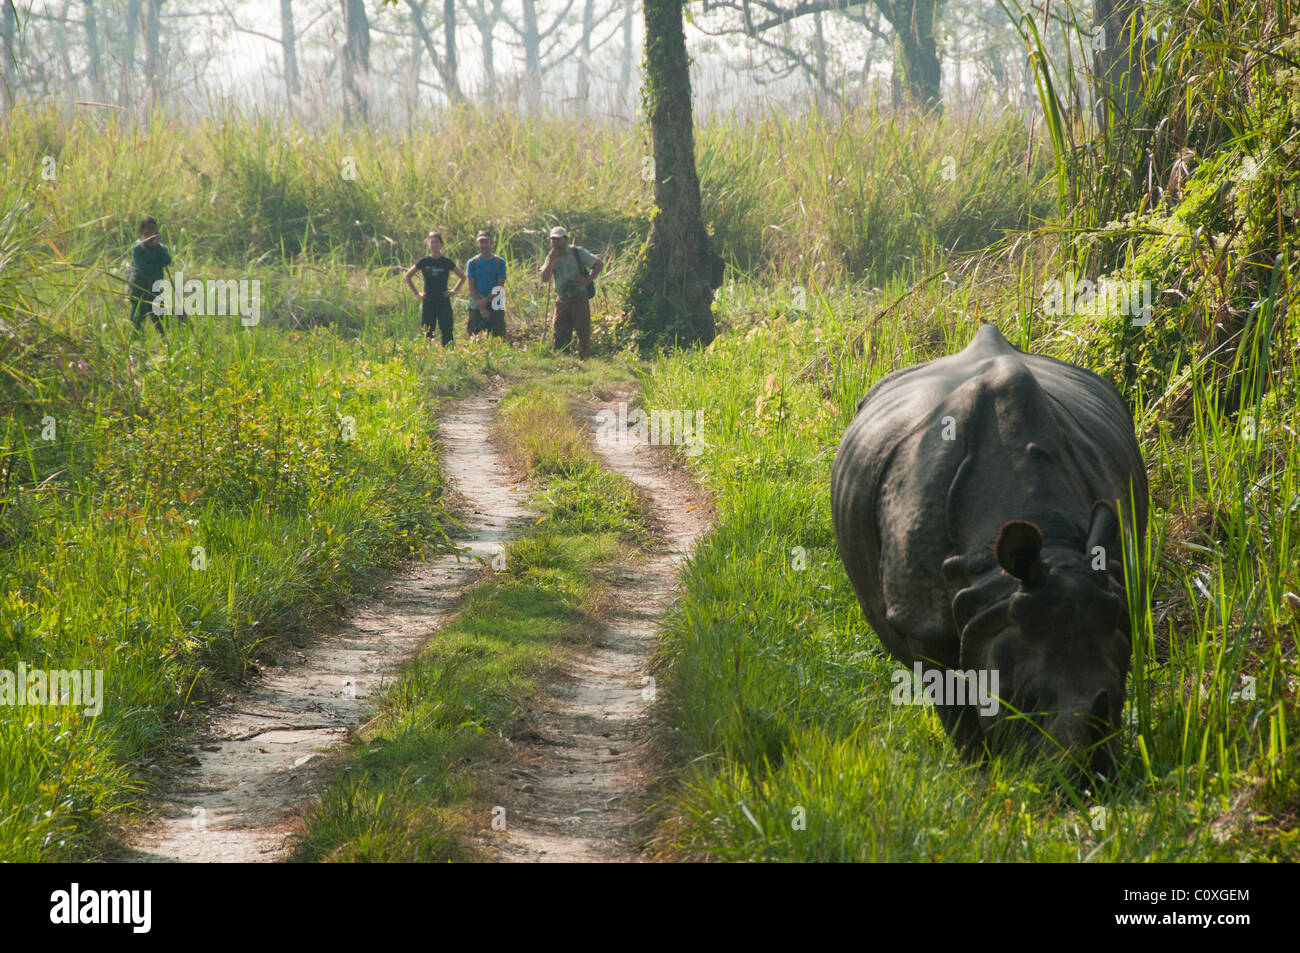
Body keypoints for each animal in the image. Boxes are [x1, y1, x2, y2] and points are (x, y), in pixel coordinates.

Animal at [831, 324, 1148, 776]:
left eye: (1118, 698)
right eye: (1023, 698)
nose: (1080, 781)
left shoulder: (1116, 589)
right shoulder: (923, 616)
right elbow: (951, 700)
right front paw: (978, 772)